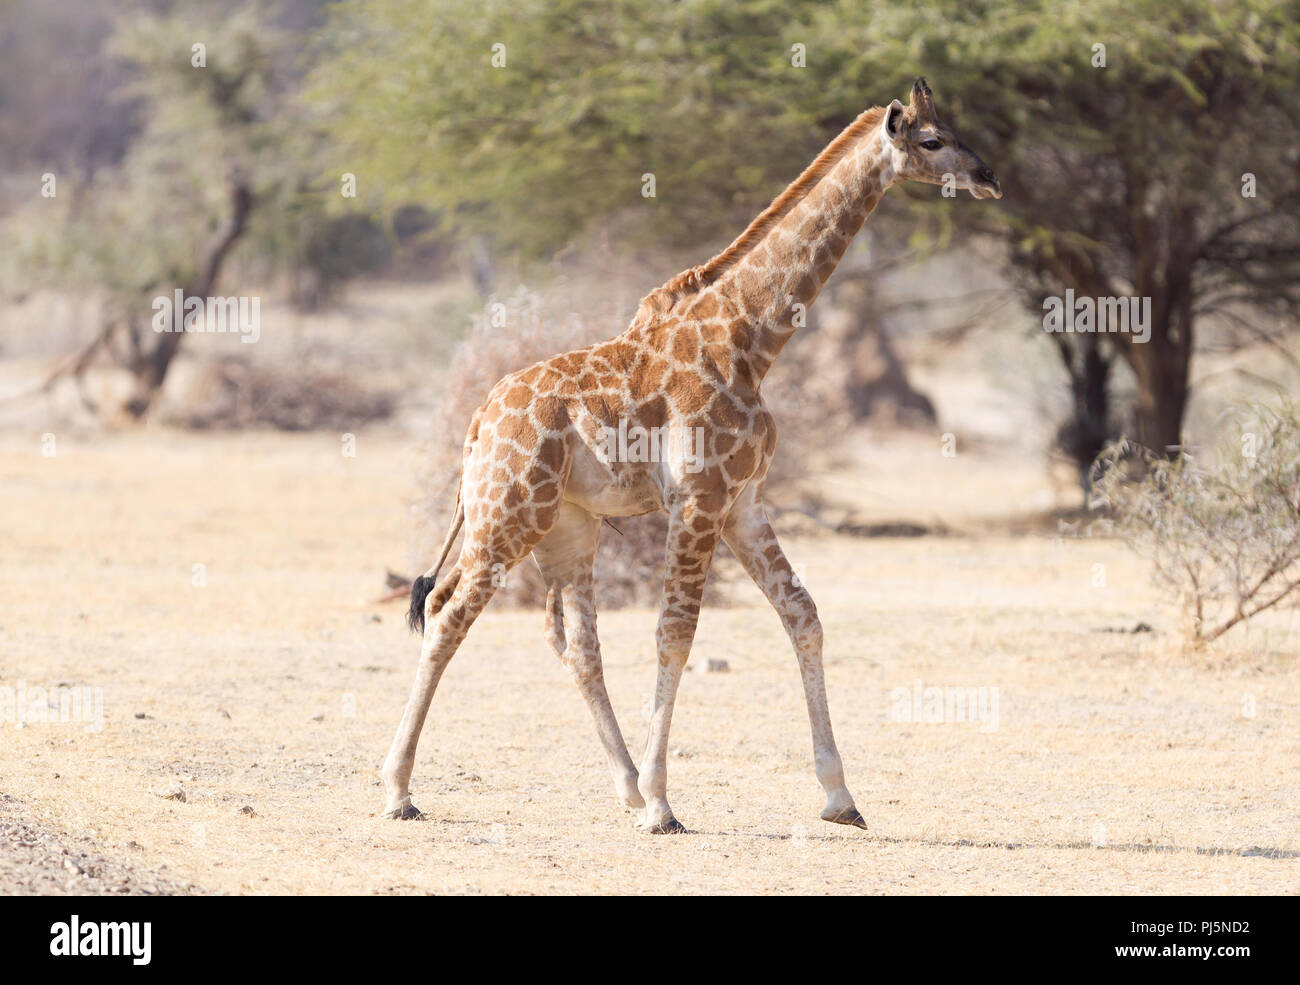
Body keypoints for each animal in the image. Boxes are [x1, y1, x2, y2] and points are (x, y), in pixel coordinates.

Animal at [382, 78, 1001, 833]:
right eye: (933, 140)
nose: (988, 176)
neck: (751, 337)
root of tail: (475, 423)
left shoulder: (744, 502)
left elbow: (803, 614)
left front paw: (840, 797)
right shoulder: (701, 497)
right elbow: (675, 632)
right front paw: (662, 803)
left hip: (567, 526)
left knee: (573, 640)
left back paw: (620, 784)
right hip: (508, 513)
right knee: (448, 614)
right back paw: (400, 789)